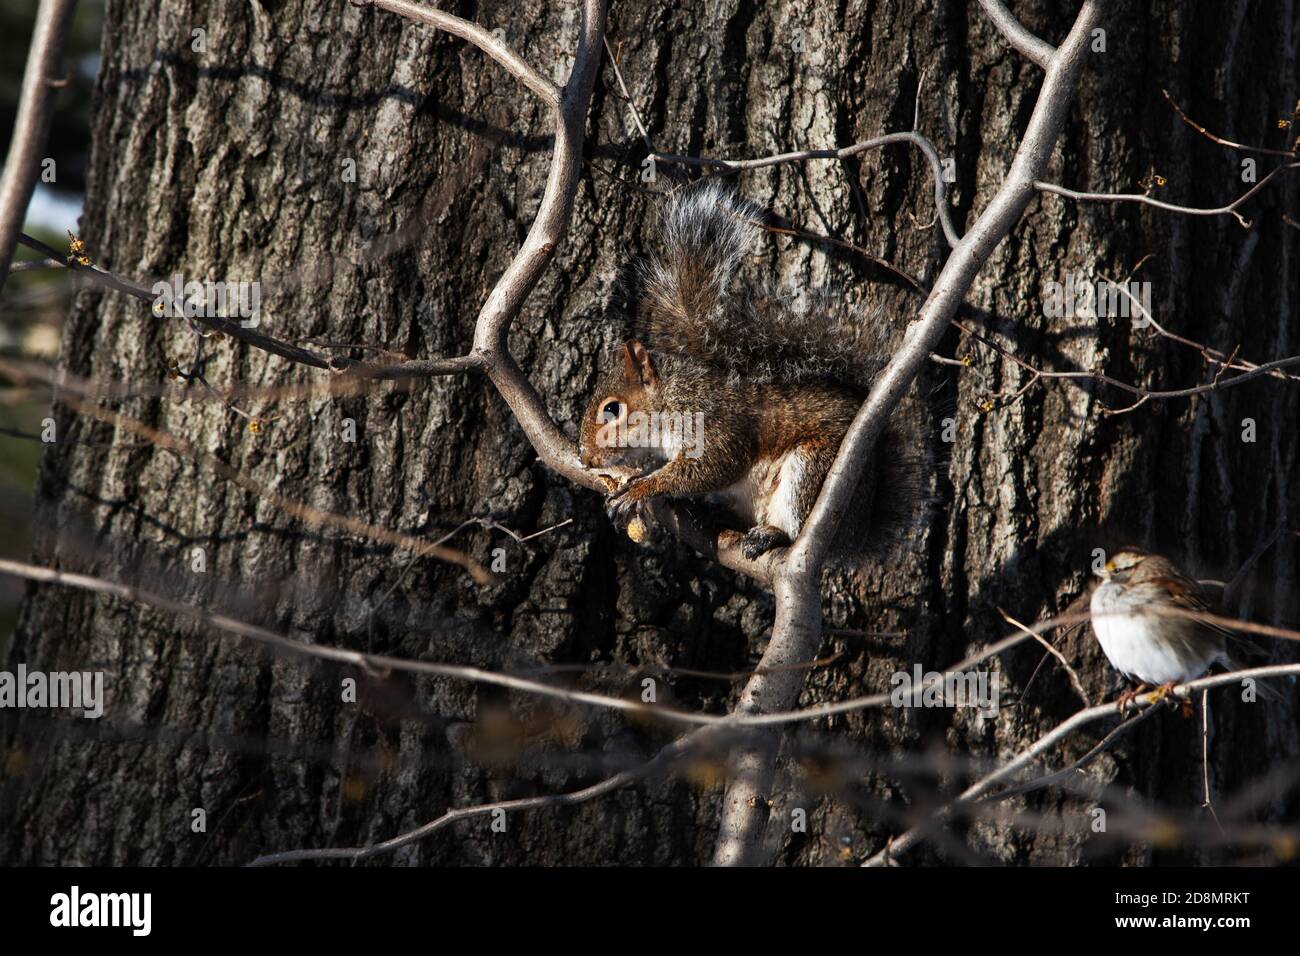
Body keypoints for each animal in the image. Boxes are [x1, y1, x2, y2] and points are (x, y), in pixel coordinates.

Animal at [578, 182, 929, 562]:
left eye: (612, 409)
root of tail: (856, 538)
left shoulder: (712, 419)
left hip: (811, 468)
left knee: (794, 524)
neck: (670, 397)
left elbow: (716, 465)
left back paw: (771, 535)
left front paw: (642, 487)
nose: (584, 458)